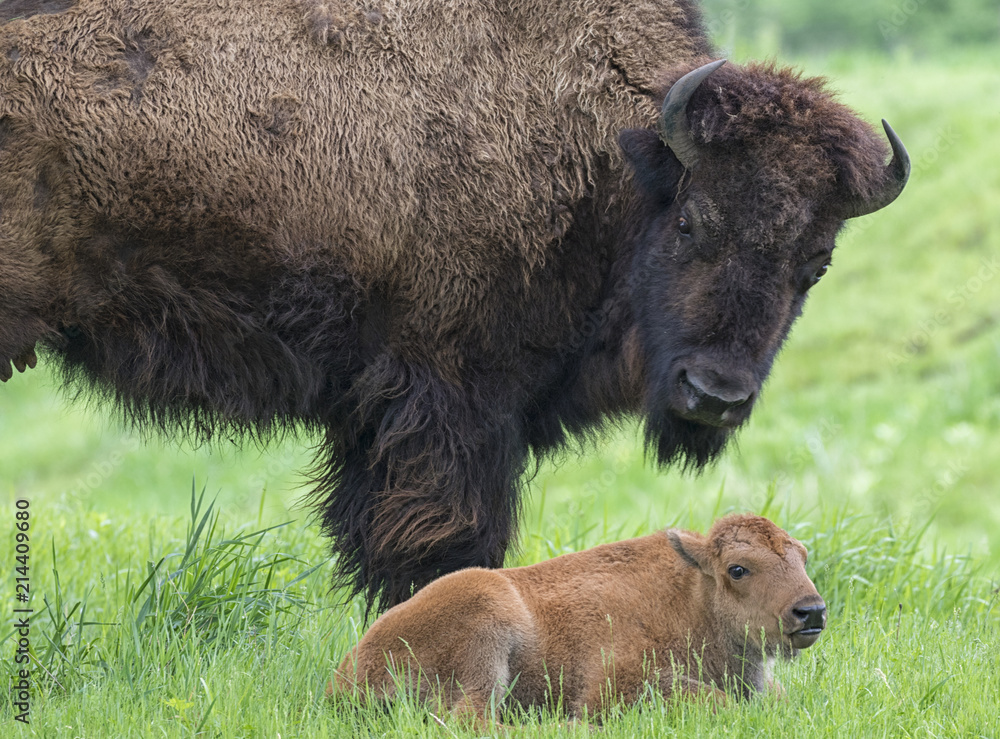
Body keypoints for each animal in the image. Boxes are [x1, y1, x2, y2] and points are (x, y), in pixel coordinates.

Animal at [0, 0, 908, 612]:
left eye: (815, 263)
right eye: (691, 221)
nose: (713, 394)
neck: (612, 151)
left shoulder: (381, 416)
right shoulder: (452, 396)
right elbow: (446, 542)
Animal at [332, 513, 826, 724]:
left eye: (802, 555)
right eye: (737, 569)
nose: (811, 611)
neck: (691, 598)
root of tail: (346, 676)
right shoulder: (617, 682)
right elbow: (716, 701)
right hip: (488, 620)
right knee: (469, 720)